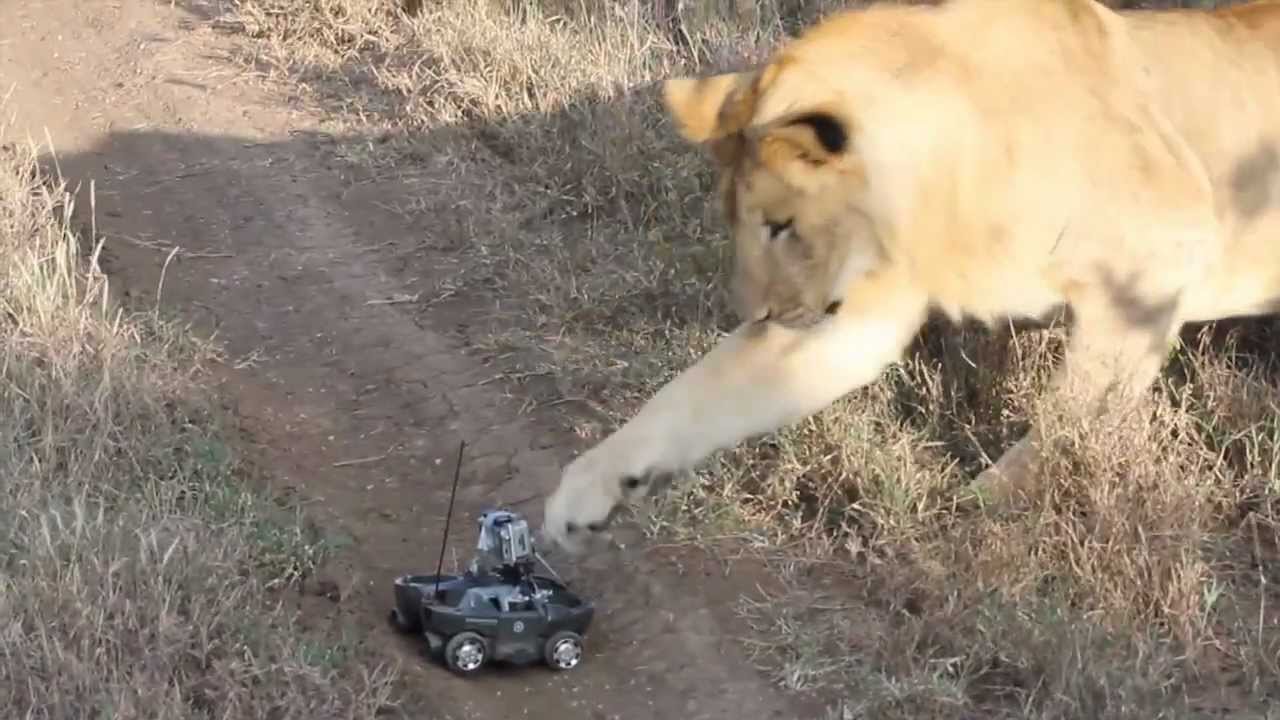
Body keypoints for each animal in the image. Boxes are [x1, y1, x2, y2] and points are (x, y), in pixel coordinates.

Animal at [542, 0, 1280, 553]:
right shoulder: (854, 316)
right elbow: (693, 394)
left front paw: (979, 511)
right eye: (735, 220)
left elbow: (1067, 413)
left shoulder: (1161, 259)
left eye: (781, 224)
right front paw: (585, 489)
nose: (756, 316)